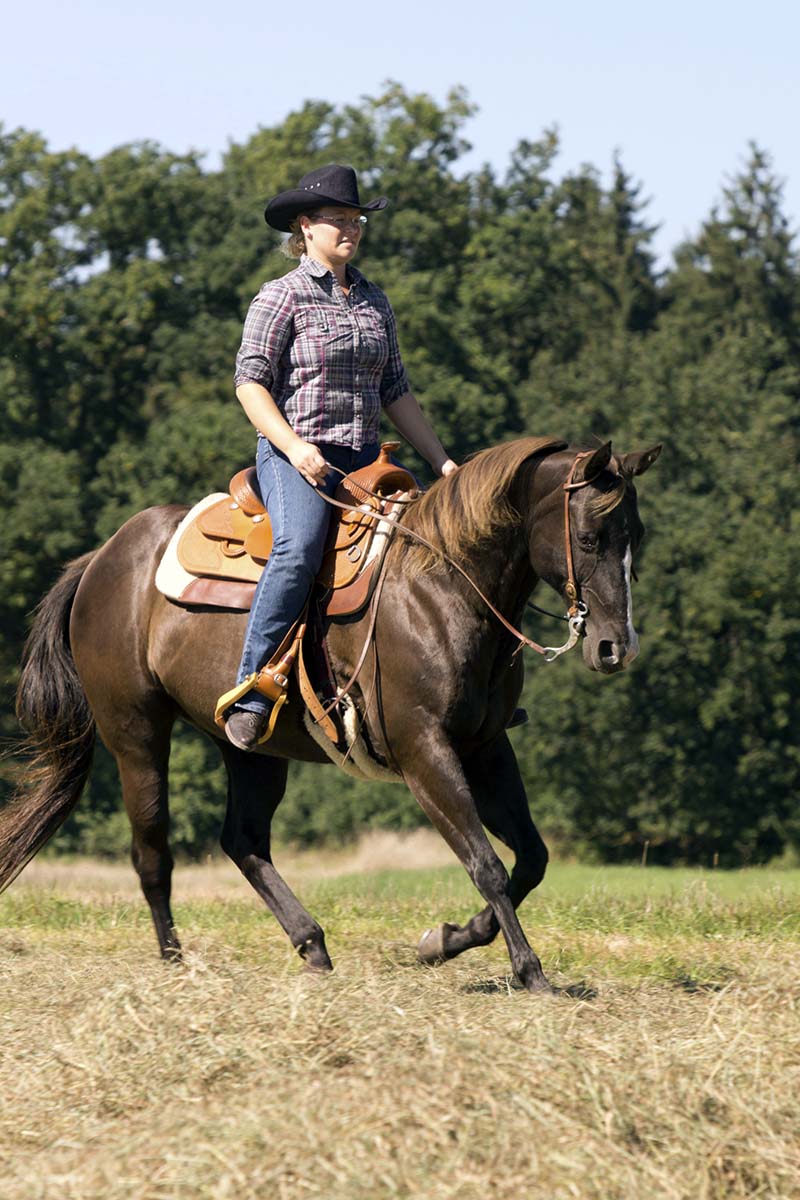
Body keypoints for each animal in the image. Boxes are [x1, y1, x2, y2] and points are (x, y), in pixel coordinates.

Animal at [1, 436, 660, 994]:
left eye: (638, 538)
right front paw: (529, 971)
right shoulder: (425, 750)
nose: (616, 648)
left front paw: (444, 941)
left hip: (251, 750)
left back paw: (311, 944)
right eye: (592, 538)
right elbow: (488, 864)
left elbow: (532, 858)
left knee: (243, 840)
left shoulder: (486, 746)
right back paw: (175, 961)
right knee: (152, 852)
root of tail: (103, 558)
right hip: (136, 734)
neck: (441, 586)